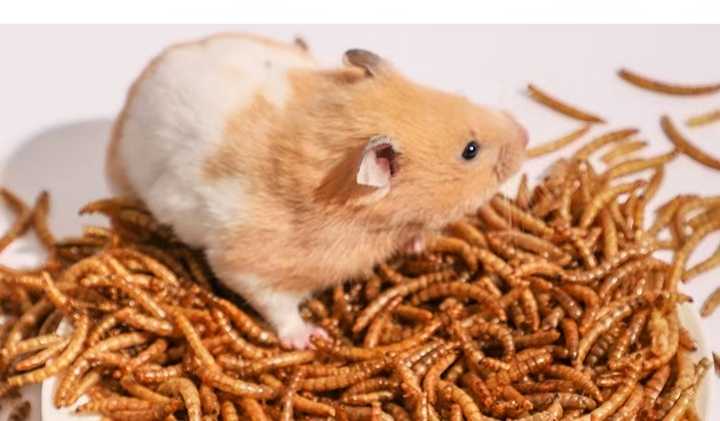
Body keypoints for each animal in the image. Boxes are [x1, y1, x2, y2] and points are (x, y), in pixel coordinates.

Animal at [106, 33, 528, 348]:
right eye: (470, 151)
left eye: (460, 98)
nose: (526, 134)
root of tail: (136, 88)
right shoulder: (246, 266)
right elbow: (277, 305)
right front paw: (312, 339)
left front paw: (419, 242)